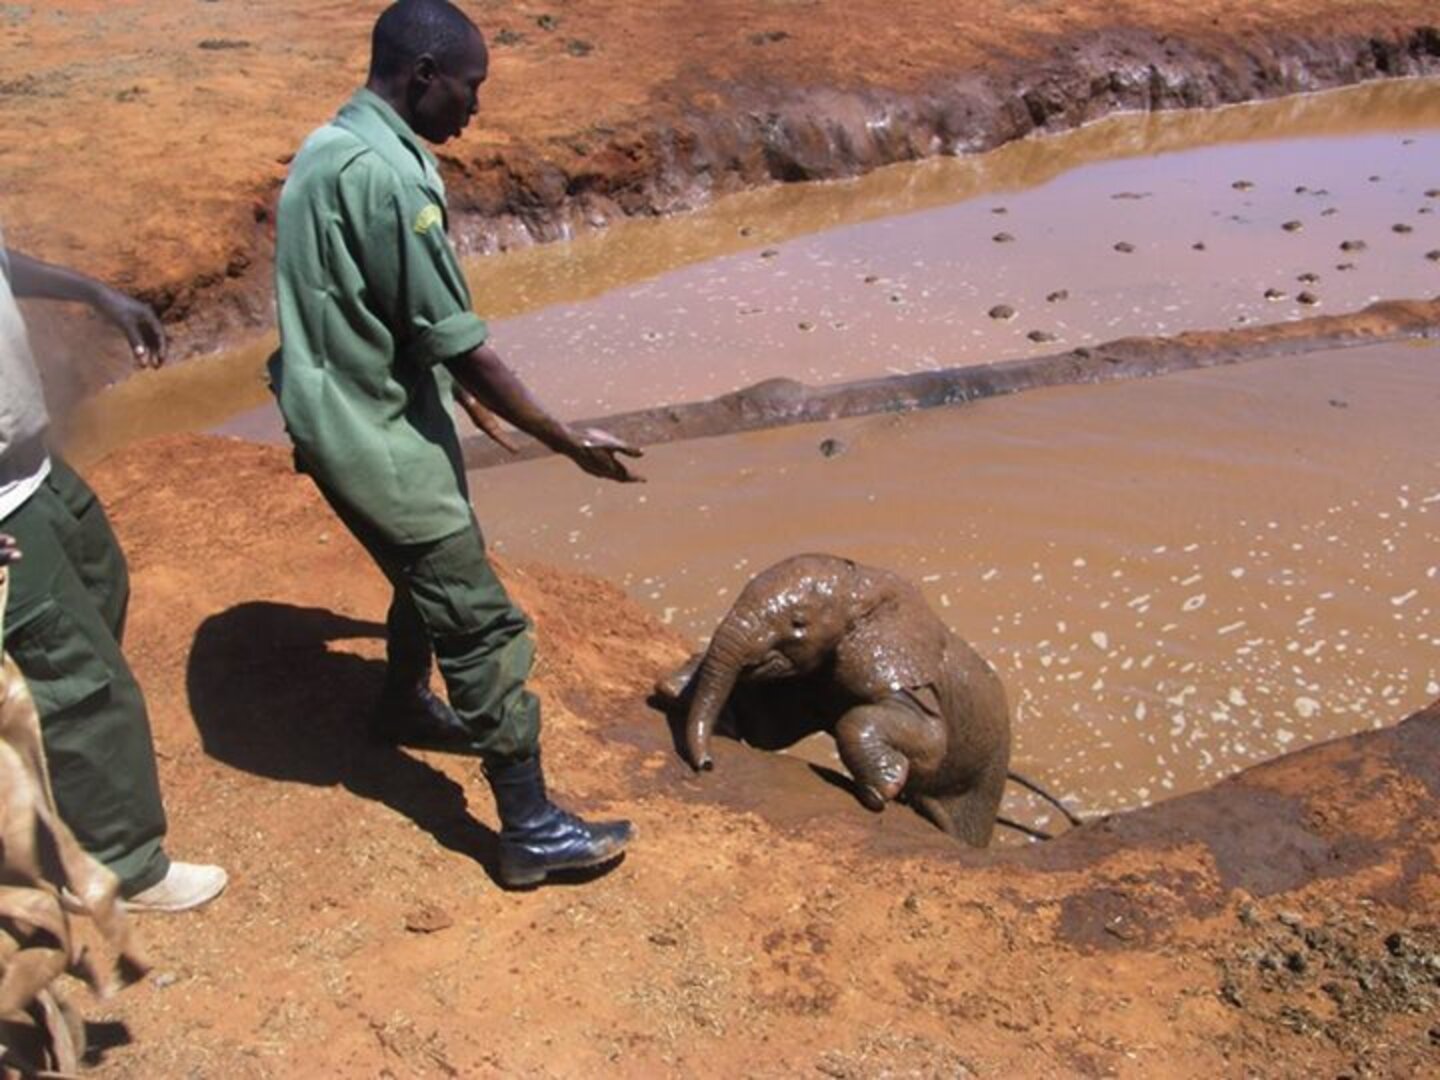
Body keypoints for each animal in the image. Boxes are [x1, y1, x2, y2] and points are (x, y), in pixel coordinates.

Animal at [655, 553, 1015, 847]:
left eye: (798, 623)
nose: (706, 764)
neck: (863, 589)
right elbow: (766, 728)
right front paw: (677, 689)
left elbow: (931, 739)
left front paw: (880, 791)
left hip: (987, 776)